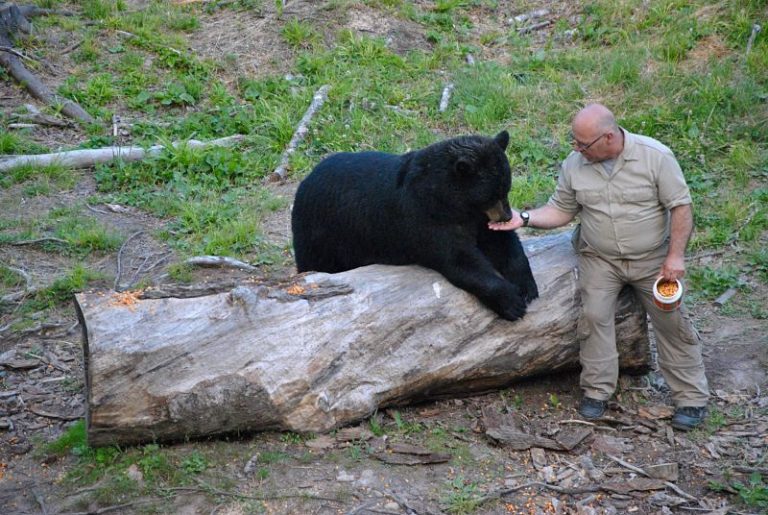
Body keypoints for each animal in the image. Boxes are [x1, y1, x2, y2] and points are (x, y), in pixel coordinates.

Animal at [290, 130, 539, 321]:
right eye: (491, 195)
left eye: (506, 189)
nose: (507, 216)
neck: (447, 198)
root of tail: (305, 181)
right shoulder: (424, 215)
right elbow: (459, 258)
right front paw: (511, 302)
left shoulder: (475, 217)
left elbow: (500, 241)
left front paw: (526, 286)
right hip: (323, 234)